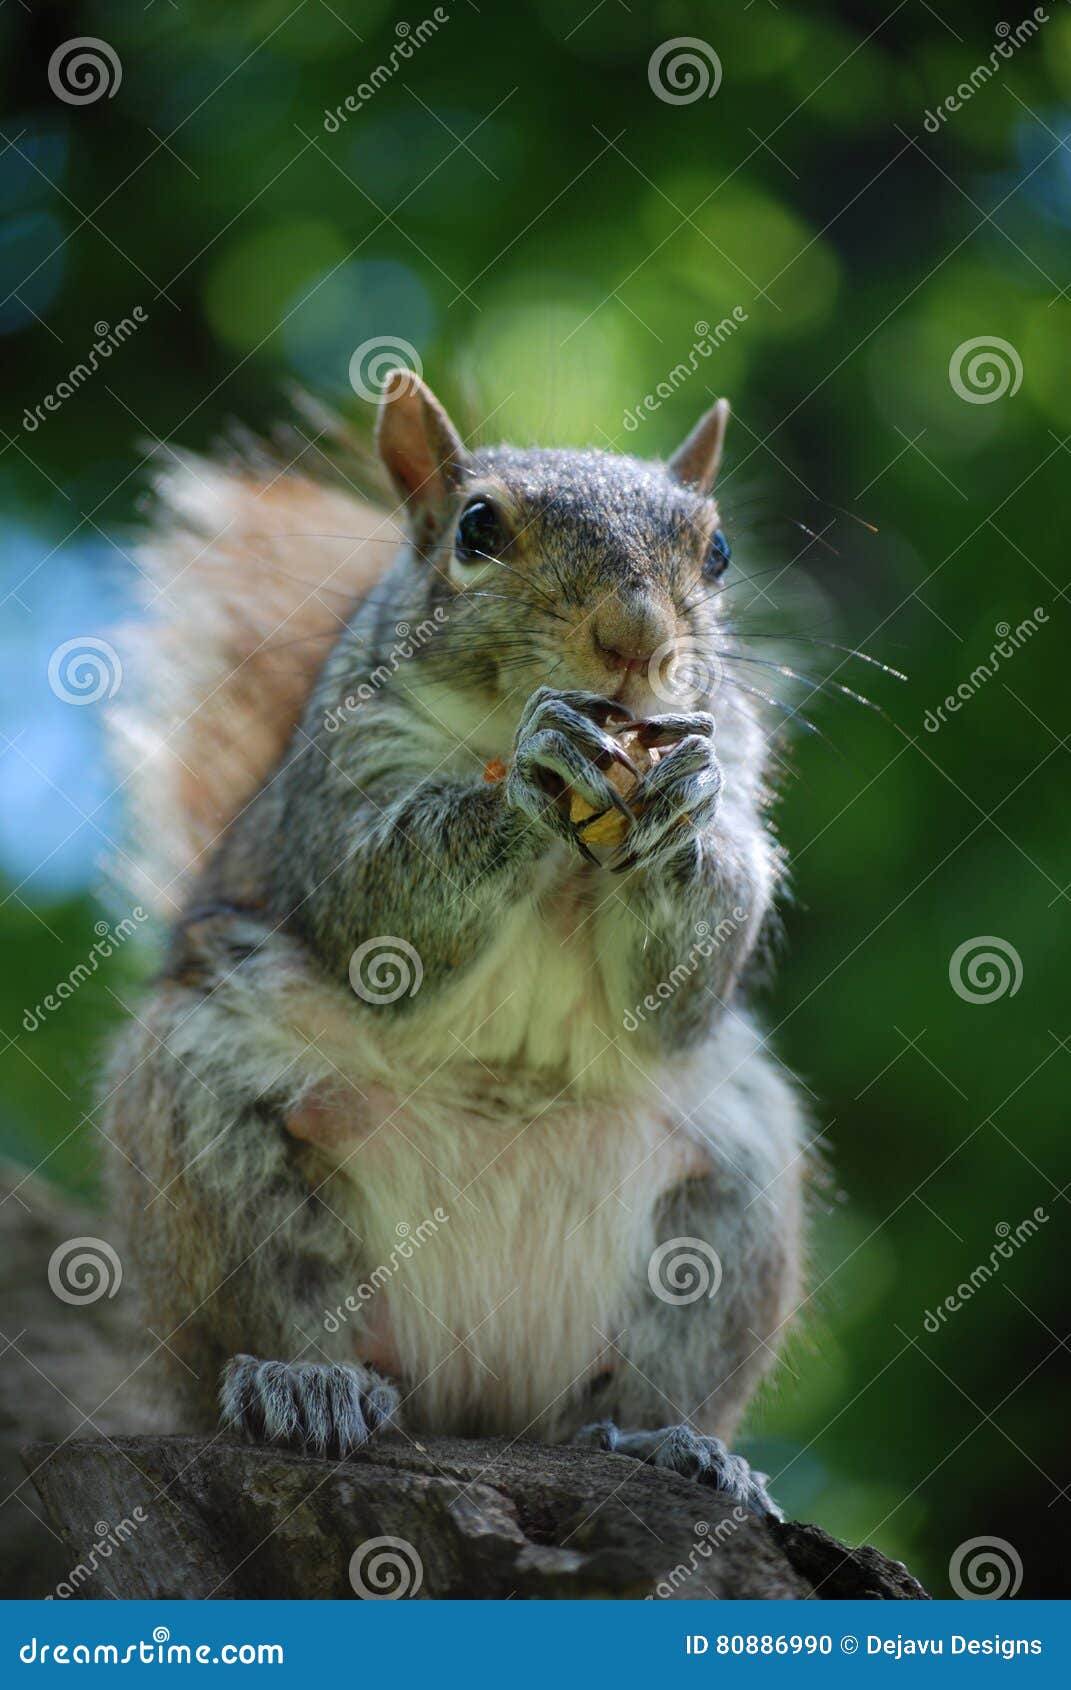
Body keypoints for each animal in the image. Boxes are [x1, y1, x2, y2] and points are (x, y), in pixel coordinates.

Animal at [102, 370, 805, 1519]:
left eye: (718, 553)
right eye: (478, 529)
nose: (635, 639)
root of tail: (479, 1393)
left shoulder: (737, 782)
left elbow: (698, 969)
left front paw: (686, 814)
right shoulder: (339, 784)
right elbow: (377, 902)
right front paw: (532, 773)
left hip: (732, 1196)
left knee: (653, 1373)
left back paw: (675, 1443)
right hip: (213, 1122)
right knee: (279, 1299)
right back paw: (305, 1382)